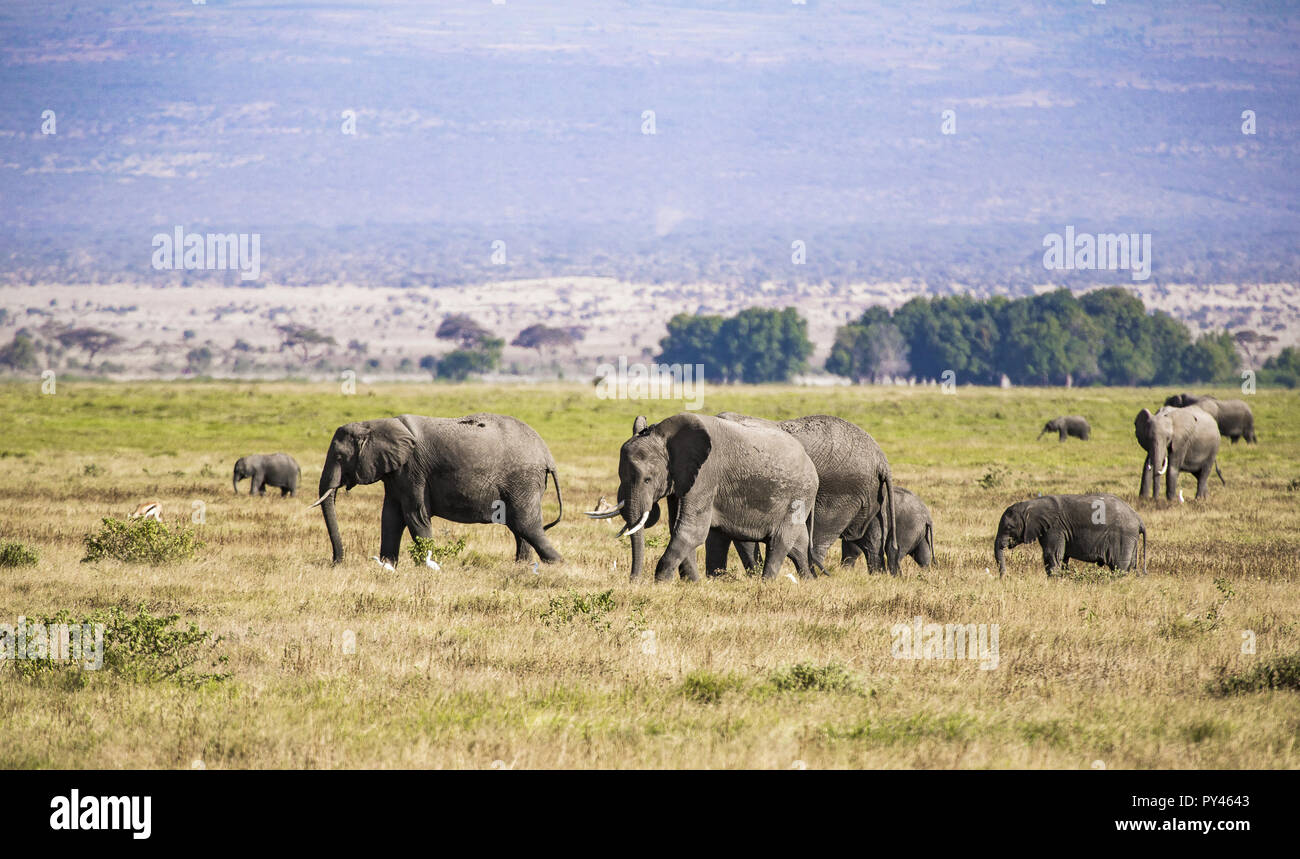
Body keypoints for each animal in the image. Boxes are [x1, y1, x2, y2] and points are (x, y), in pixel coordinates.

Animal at [311, 413, 563, 566]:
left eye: (340, 457)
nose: (336, 562)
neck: (376, 424)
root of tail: (547, 454)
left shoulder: (413, 470)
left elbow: (415, 516)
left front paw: (427, 566)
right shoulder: (395, 474)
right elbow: (390, 517)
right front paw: (387, 566)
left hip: (522, 478)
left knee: (525, 524)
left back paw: (557, 564)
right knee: (520, 527)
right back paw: (523, 566)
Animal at [588, 413, 818, 582]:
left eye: (647, 479)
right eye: (620, 475)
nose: (634, 582)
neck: (665, 435)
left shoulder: (706, 475)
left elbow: (692, 529)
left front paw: (661, 583)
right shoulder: (681, 478)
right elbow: (677, 527)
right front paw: (692, 583)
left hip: (799, 496)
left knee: (779, 541)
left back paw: (766, 583)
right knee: (796, 545)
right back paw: (808, 582)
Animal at [705, 412, 899, 577]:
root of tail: (882, 460)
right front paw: (717, 578)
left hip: (842, 493)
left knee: (820, 537)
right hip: (871, 492)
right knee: (870, 538)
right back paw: (876, 576)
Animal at [994, 494, 1147, 577]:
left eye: (1009, 527)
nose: (1004, 577)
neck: (1031, 504)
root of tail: (1139, 519)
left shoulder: (1055, 529)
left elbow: (1052, 555)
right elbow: (1062, 558)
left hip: (1123, 537)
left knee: (1120, 566)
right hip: (1130, 539)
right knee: (1132, 567)